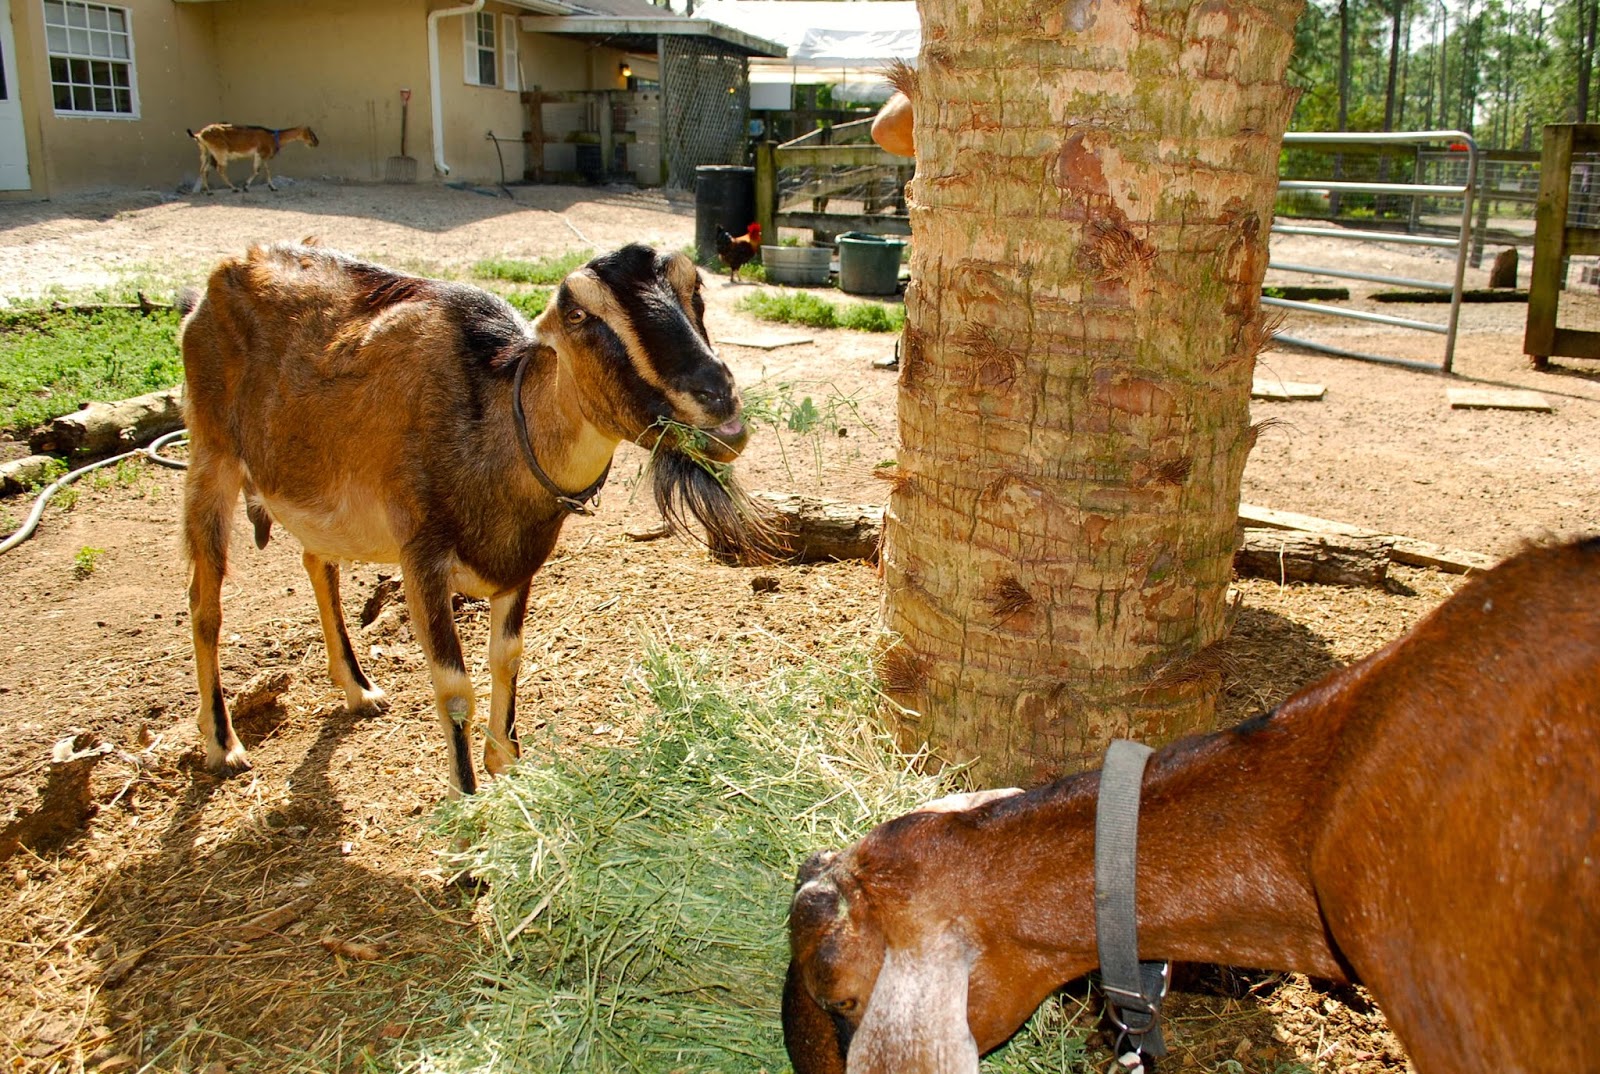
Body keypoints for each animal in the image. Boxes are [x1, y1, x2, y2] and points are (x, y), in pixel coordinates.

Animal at [181, 241, 768, 795]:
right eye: (578, 314)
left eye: (696, 288)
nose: (716, 393)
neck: (495, 424)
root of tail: (221, 277)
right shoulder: (421, 556)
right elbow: (453, 687)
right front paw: (467, 807)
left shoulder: (518, 563)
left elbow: (507, 655)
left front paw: (507, 764)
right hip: (210, 453)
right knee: (205, 601)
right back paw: (223, 743)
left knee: (316, 562)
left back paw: (359, 690)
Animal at [188, 123, 319, 194]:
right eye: (311, 133)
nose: (316, 143)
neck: (273, 137)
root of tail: (199, 135)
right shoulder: (260, 153)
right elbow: (257, 171)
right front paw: (245, 186)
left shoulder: (264, 156)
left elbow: (267, 171)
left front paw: (273, 187)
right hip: (220, 152)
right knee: (220, 169)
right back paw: (234, 188)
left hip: (207, 153)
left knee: (203, 170)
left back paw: (209, 192)